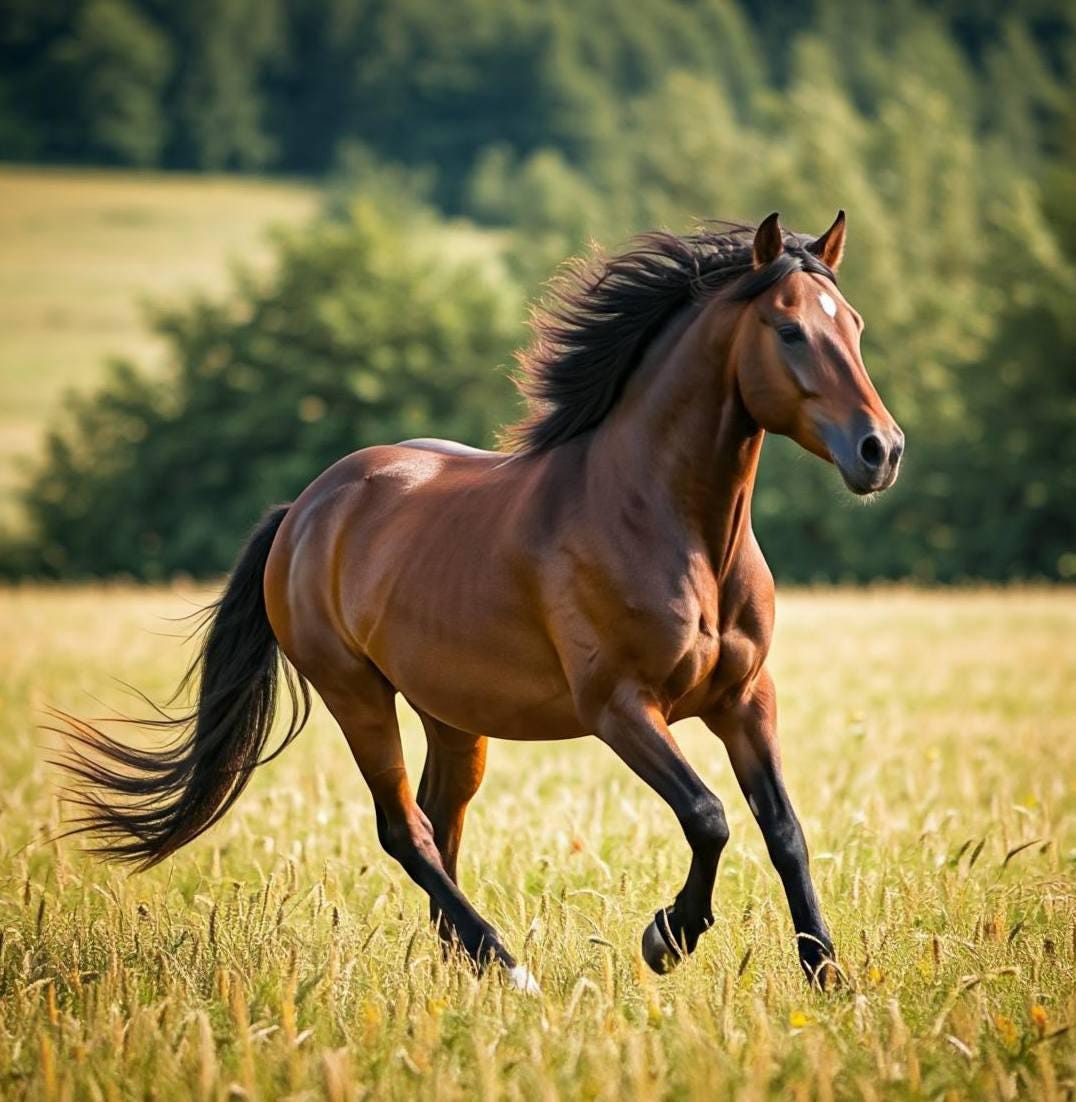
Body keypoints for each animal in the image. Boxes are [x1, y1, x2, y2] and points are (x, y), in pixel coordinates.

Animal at [58, 212, 903, 993]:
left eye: (856, 325)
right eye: (789, 330)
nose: (881, 451)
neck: (672, 525)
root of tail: (304, 508)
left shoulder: (745, 698)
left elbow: (783, 829)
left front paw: (827, 974)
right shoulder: (621, 708)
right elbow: (709, 817)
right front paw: (667, 938)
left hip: (452, 714)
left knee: (441, 823)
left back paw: (463, 966)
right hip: (355, 693)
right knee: (404, 830)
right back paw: (504, 963)